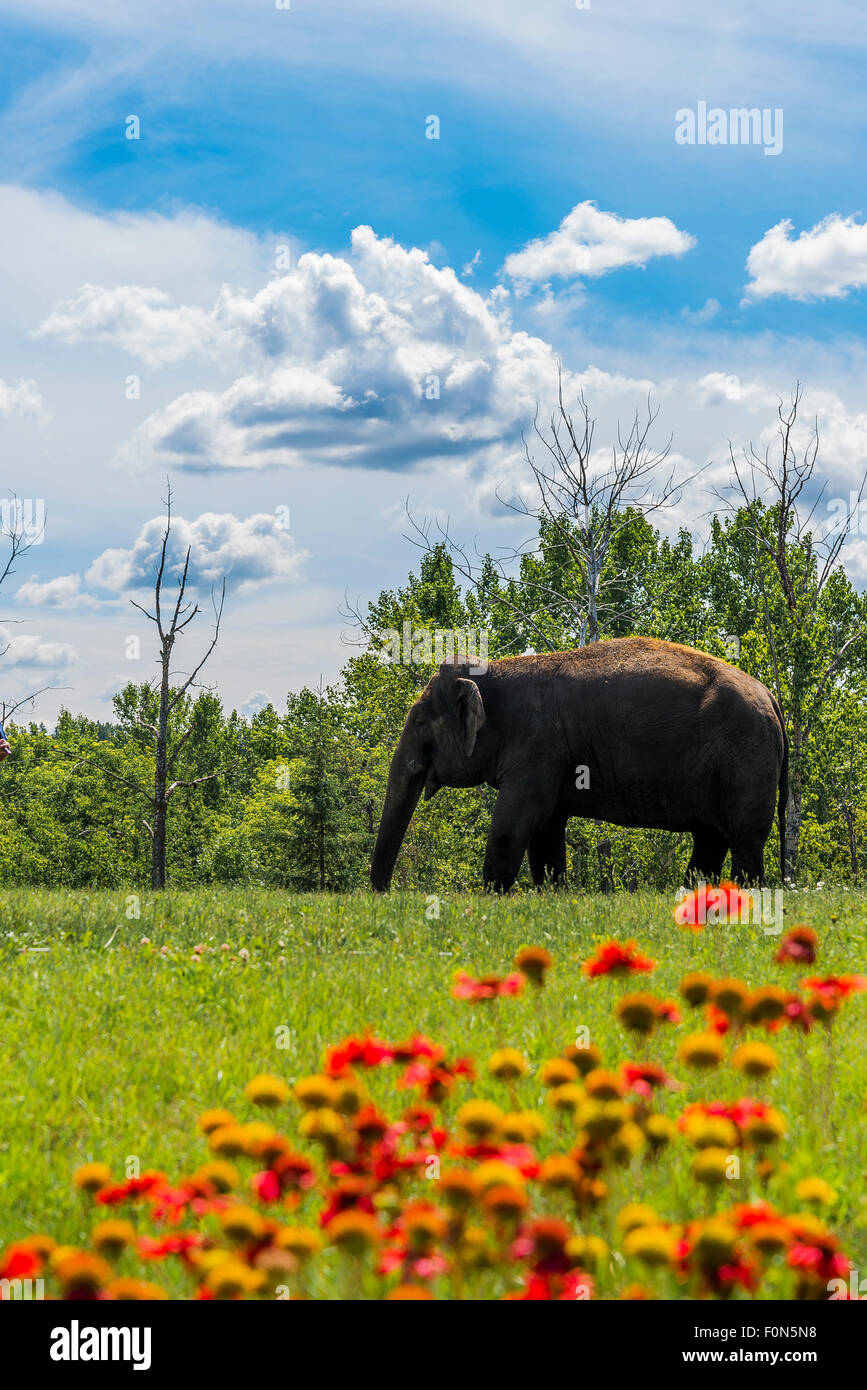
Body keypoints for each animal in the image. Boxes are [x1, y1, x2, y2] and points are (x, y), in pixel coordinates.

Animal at [370, 637, 789, 892]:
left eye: (419, 722)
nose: (383, 894)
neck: (496, 671)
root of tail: (769, 695)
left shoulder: (537, 749)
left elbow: (514, 823)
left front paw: (490, 898)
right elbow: (546, 832)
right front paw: (552, 895)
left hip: (746, 756)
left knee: (745, 836)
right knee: (710, 840)